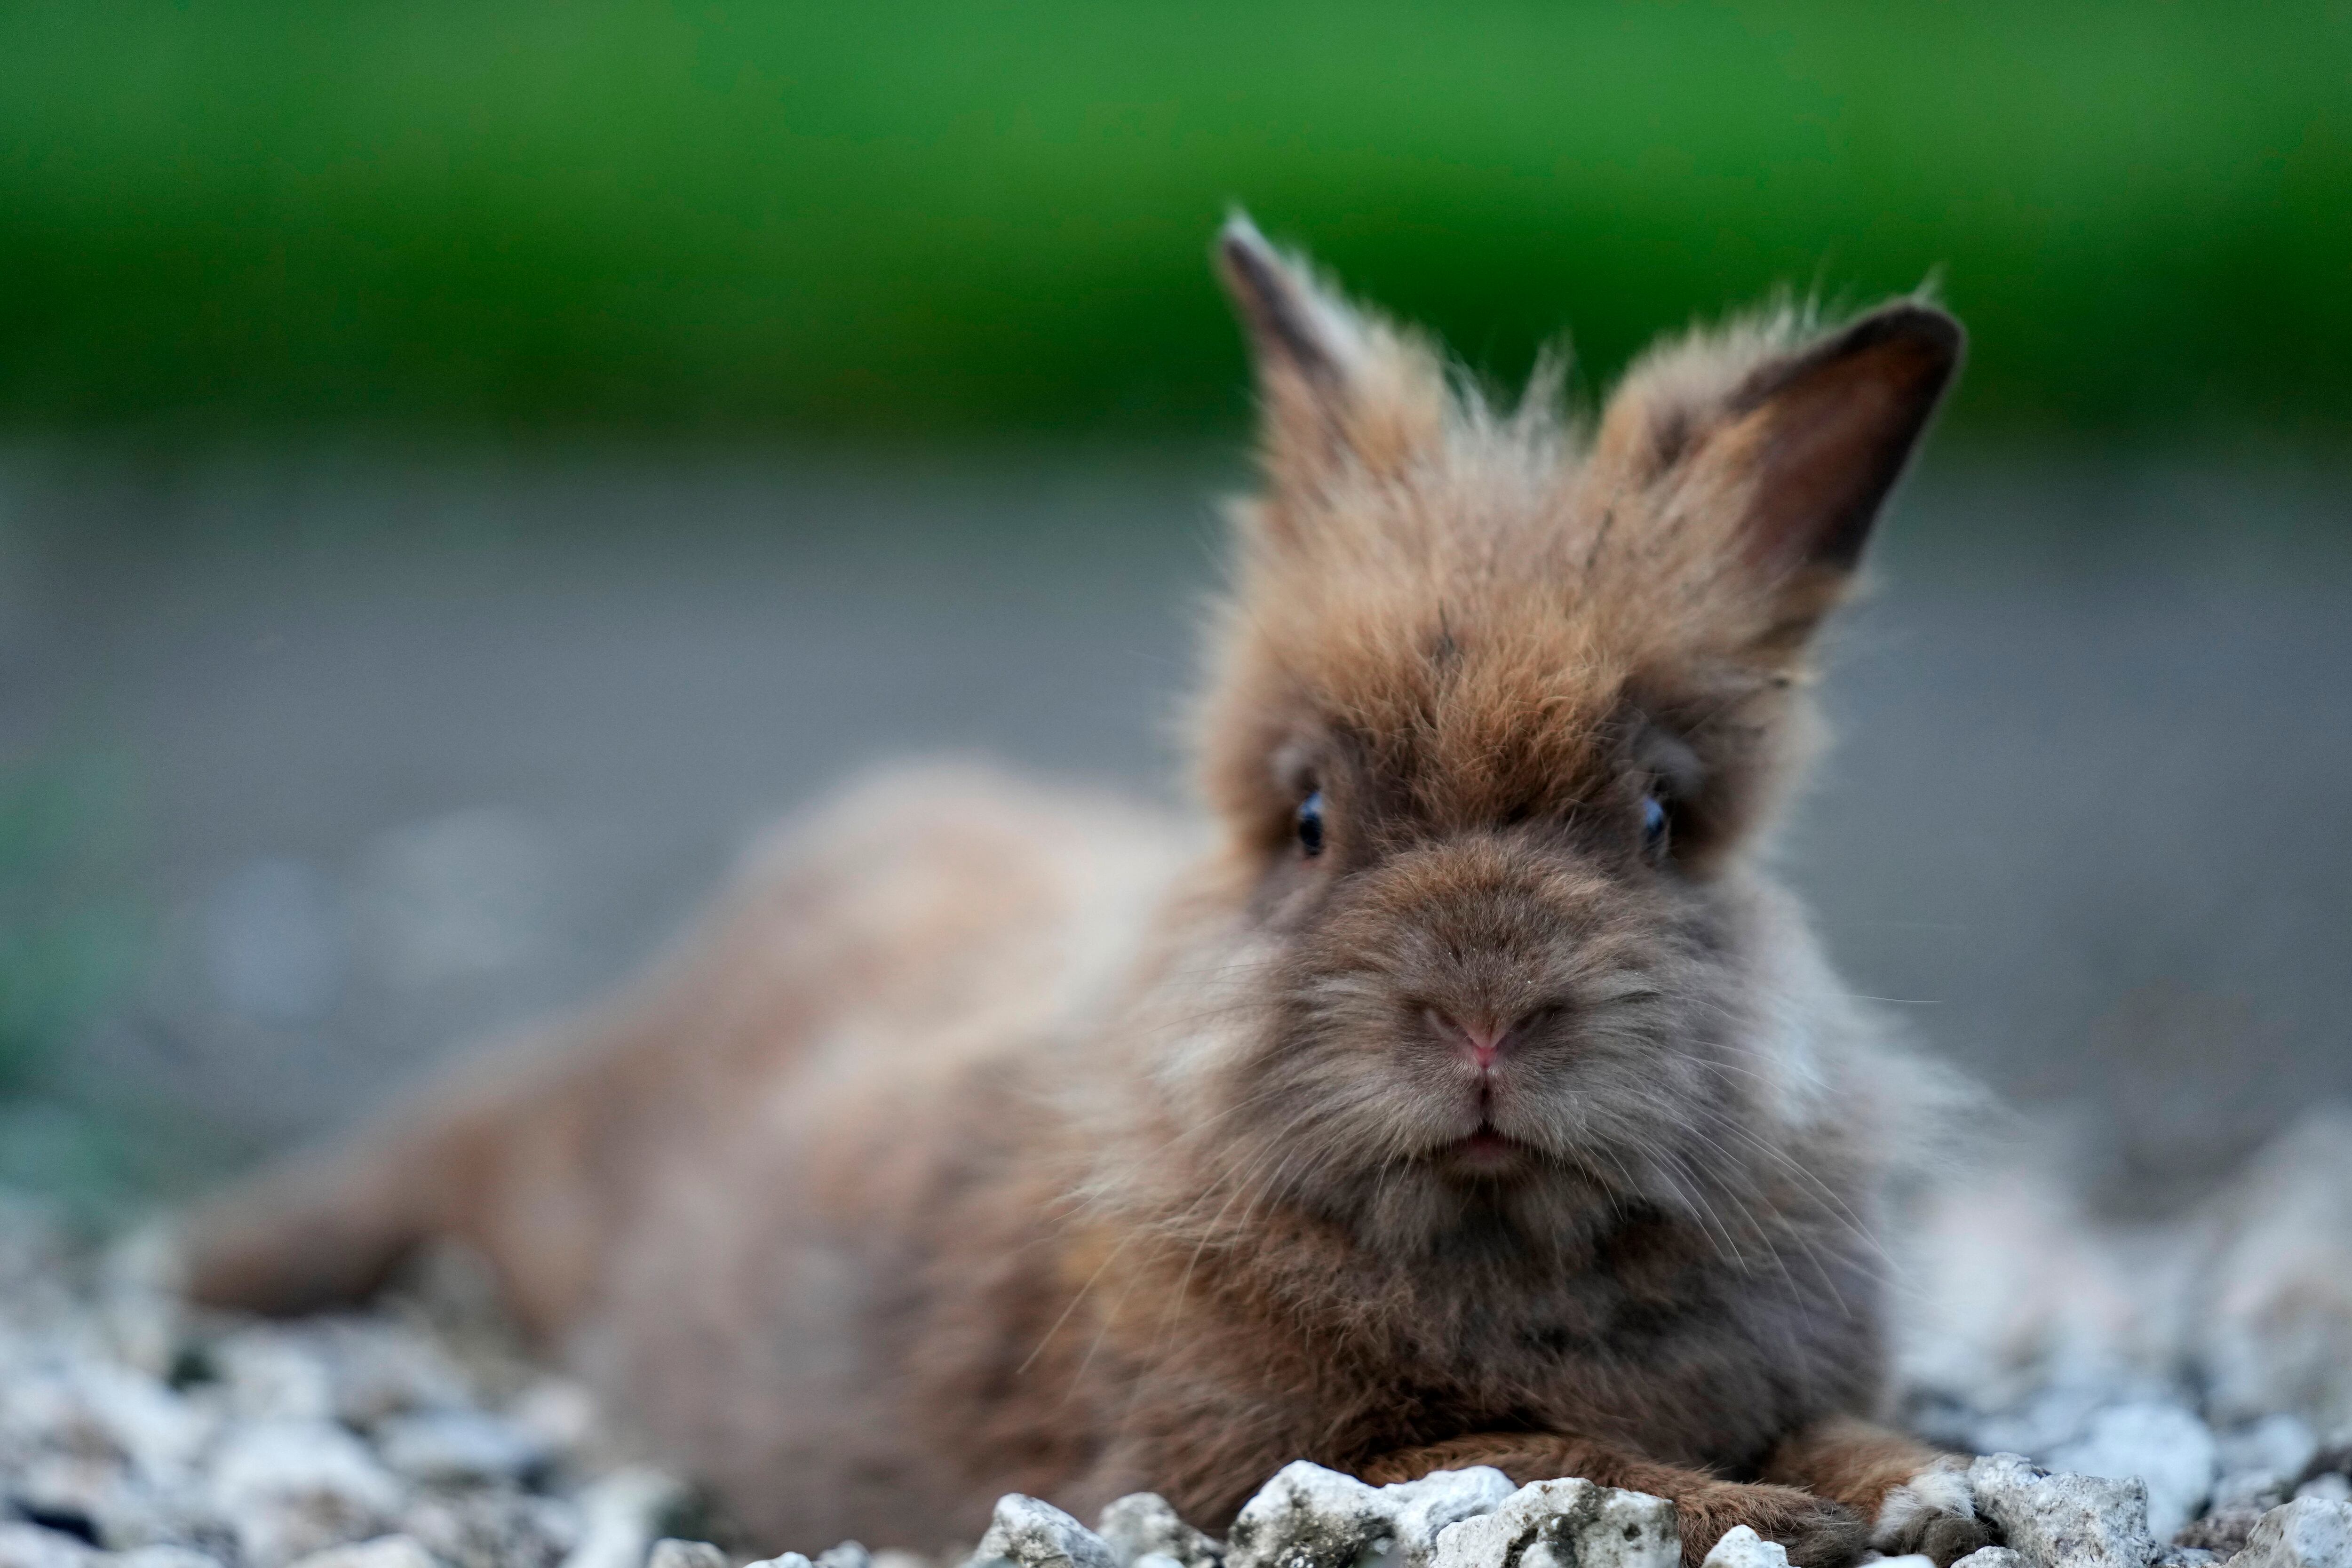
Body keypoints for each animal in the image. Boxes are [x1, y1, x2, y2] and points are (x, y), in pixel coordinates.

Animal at [183, 216, 1993, 1568]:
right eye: (1309, 817)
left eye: (1665, 820)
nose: (1484, 1016)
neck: (1494, 1247)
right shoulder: (1251, 1462)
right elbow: (1548, 1453)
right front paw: (1772, 1516)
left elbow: (1847, 1428)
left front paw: (1929, 1493)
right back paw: (211, 1268)